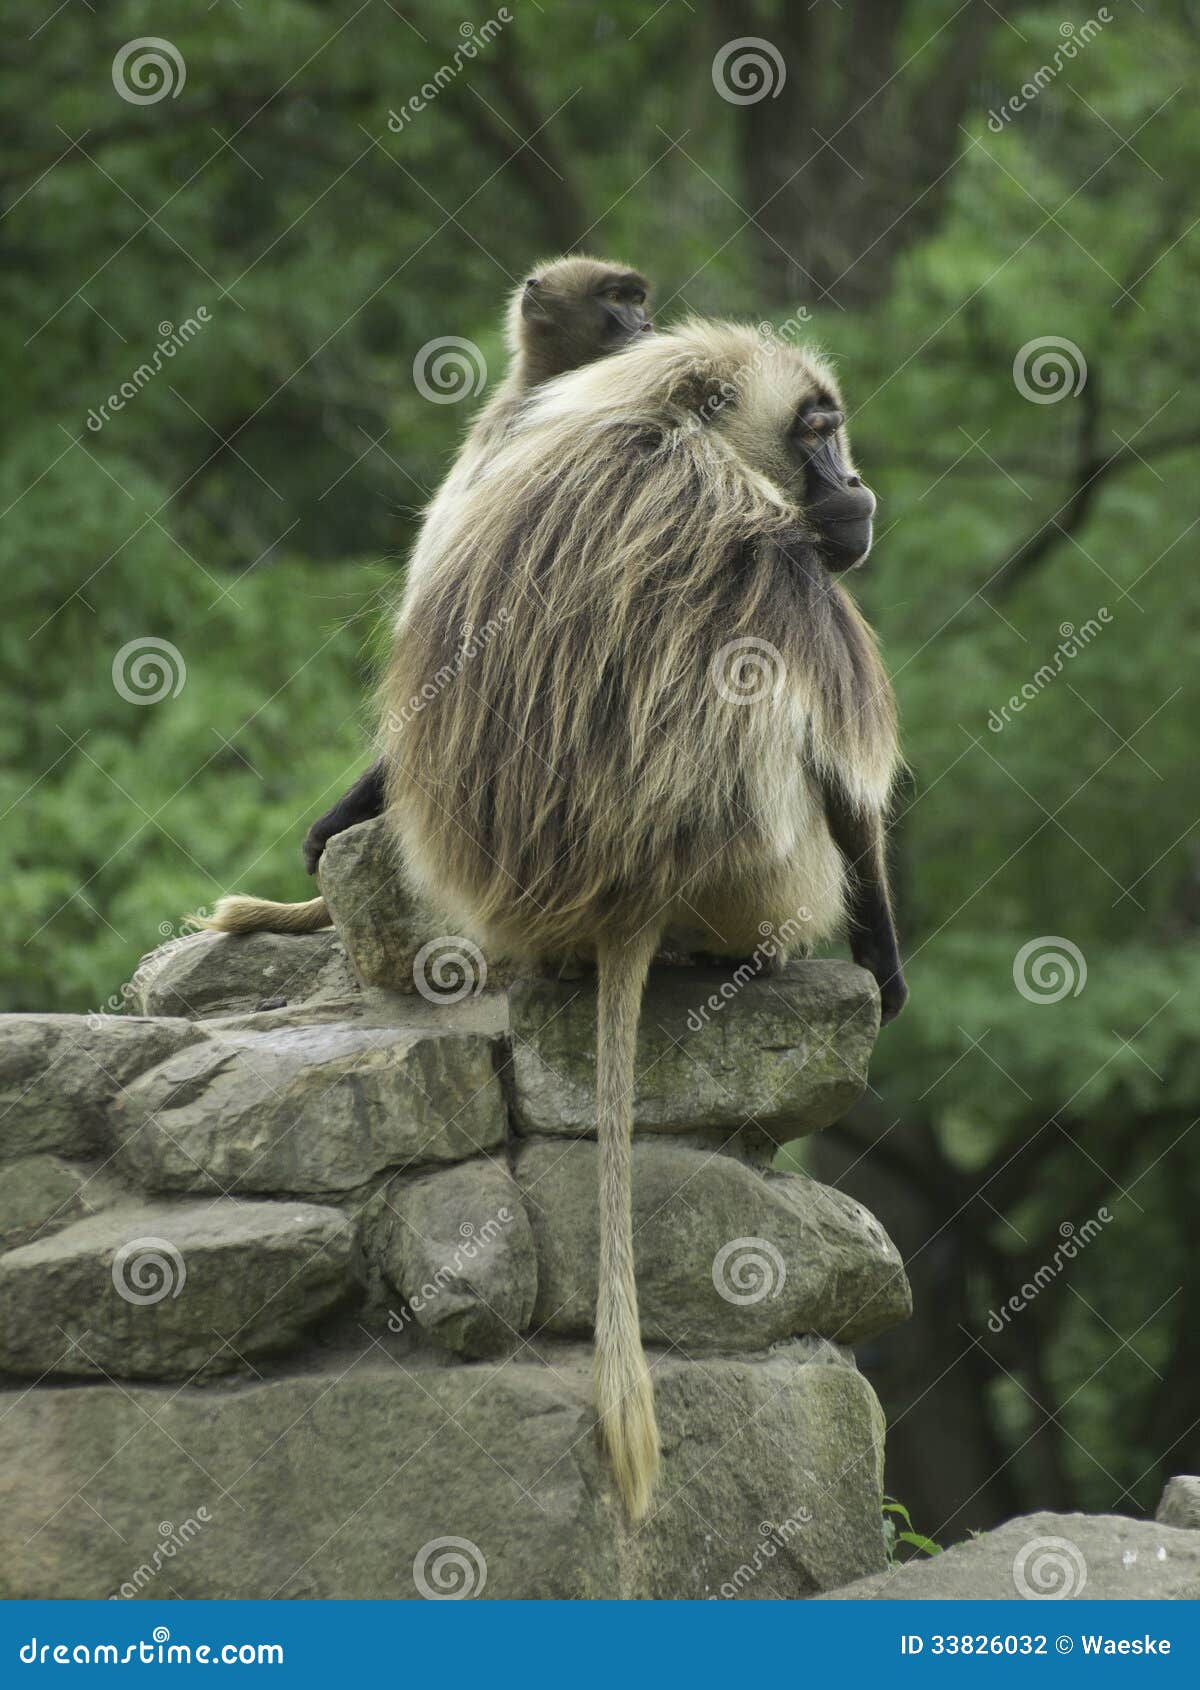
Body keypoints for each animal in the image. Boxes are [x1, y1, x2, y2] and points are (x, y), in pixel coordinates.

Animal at [381, 319, 905, 1519]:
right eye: (817, 432)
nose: (854, 487)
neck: (669, 429)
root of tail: (624, 905)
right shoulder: (773, 549)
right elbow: (847, 782)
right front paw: (886, 952)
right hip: (755, 881)